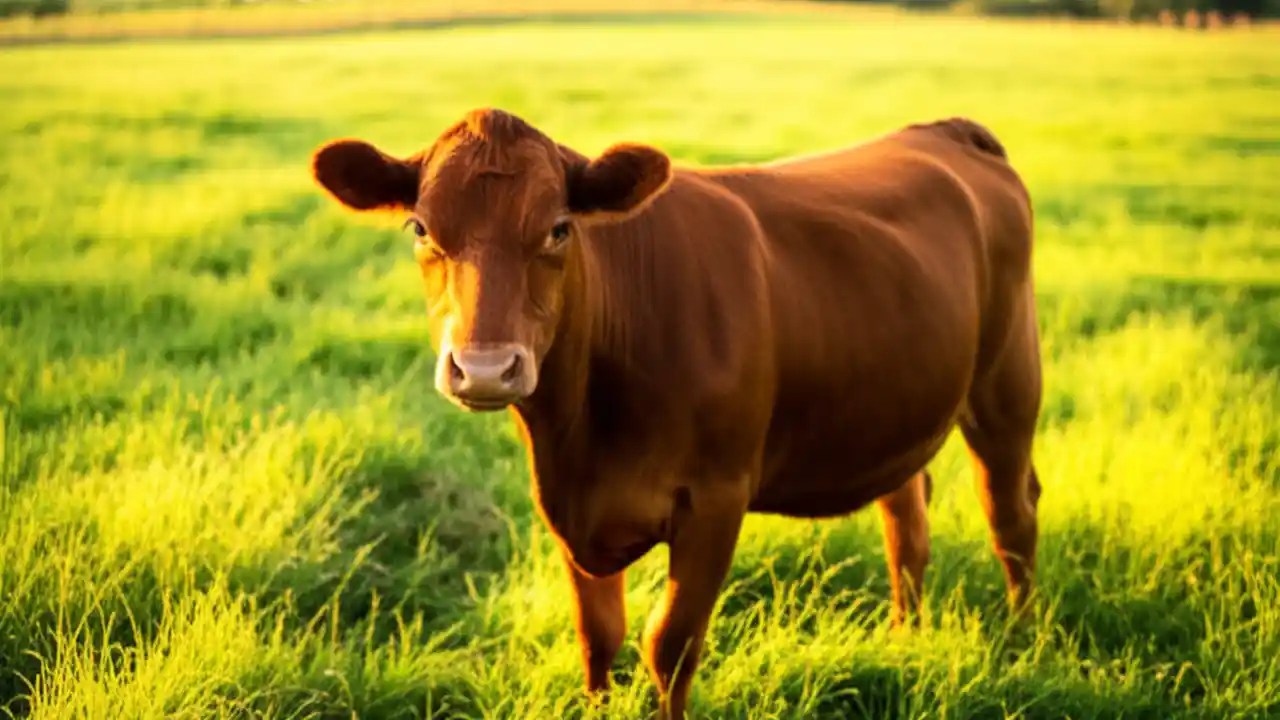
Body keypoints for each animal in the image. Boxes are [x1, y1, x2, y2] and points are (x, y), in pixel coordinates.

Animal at [311, 108, 1042, 718]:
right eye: (421, 229)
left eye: (559, 228)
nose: (486, 367)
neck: (583, 438)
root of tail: (945, 130)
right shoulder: (568, 510)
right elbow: (598, 637)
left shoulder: (717, 498)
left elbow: (671, 644)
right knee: (907, 518)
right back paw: (903, 635)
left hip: (1007, 383)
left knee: (1010, 512)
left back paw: (1020, 643)